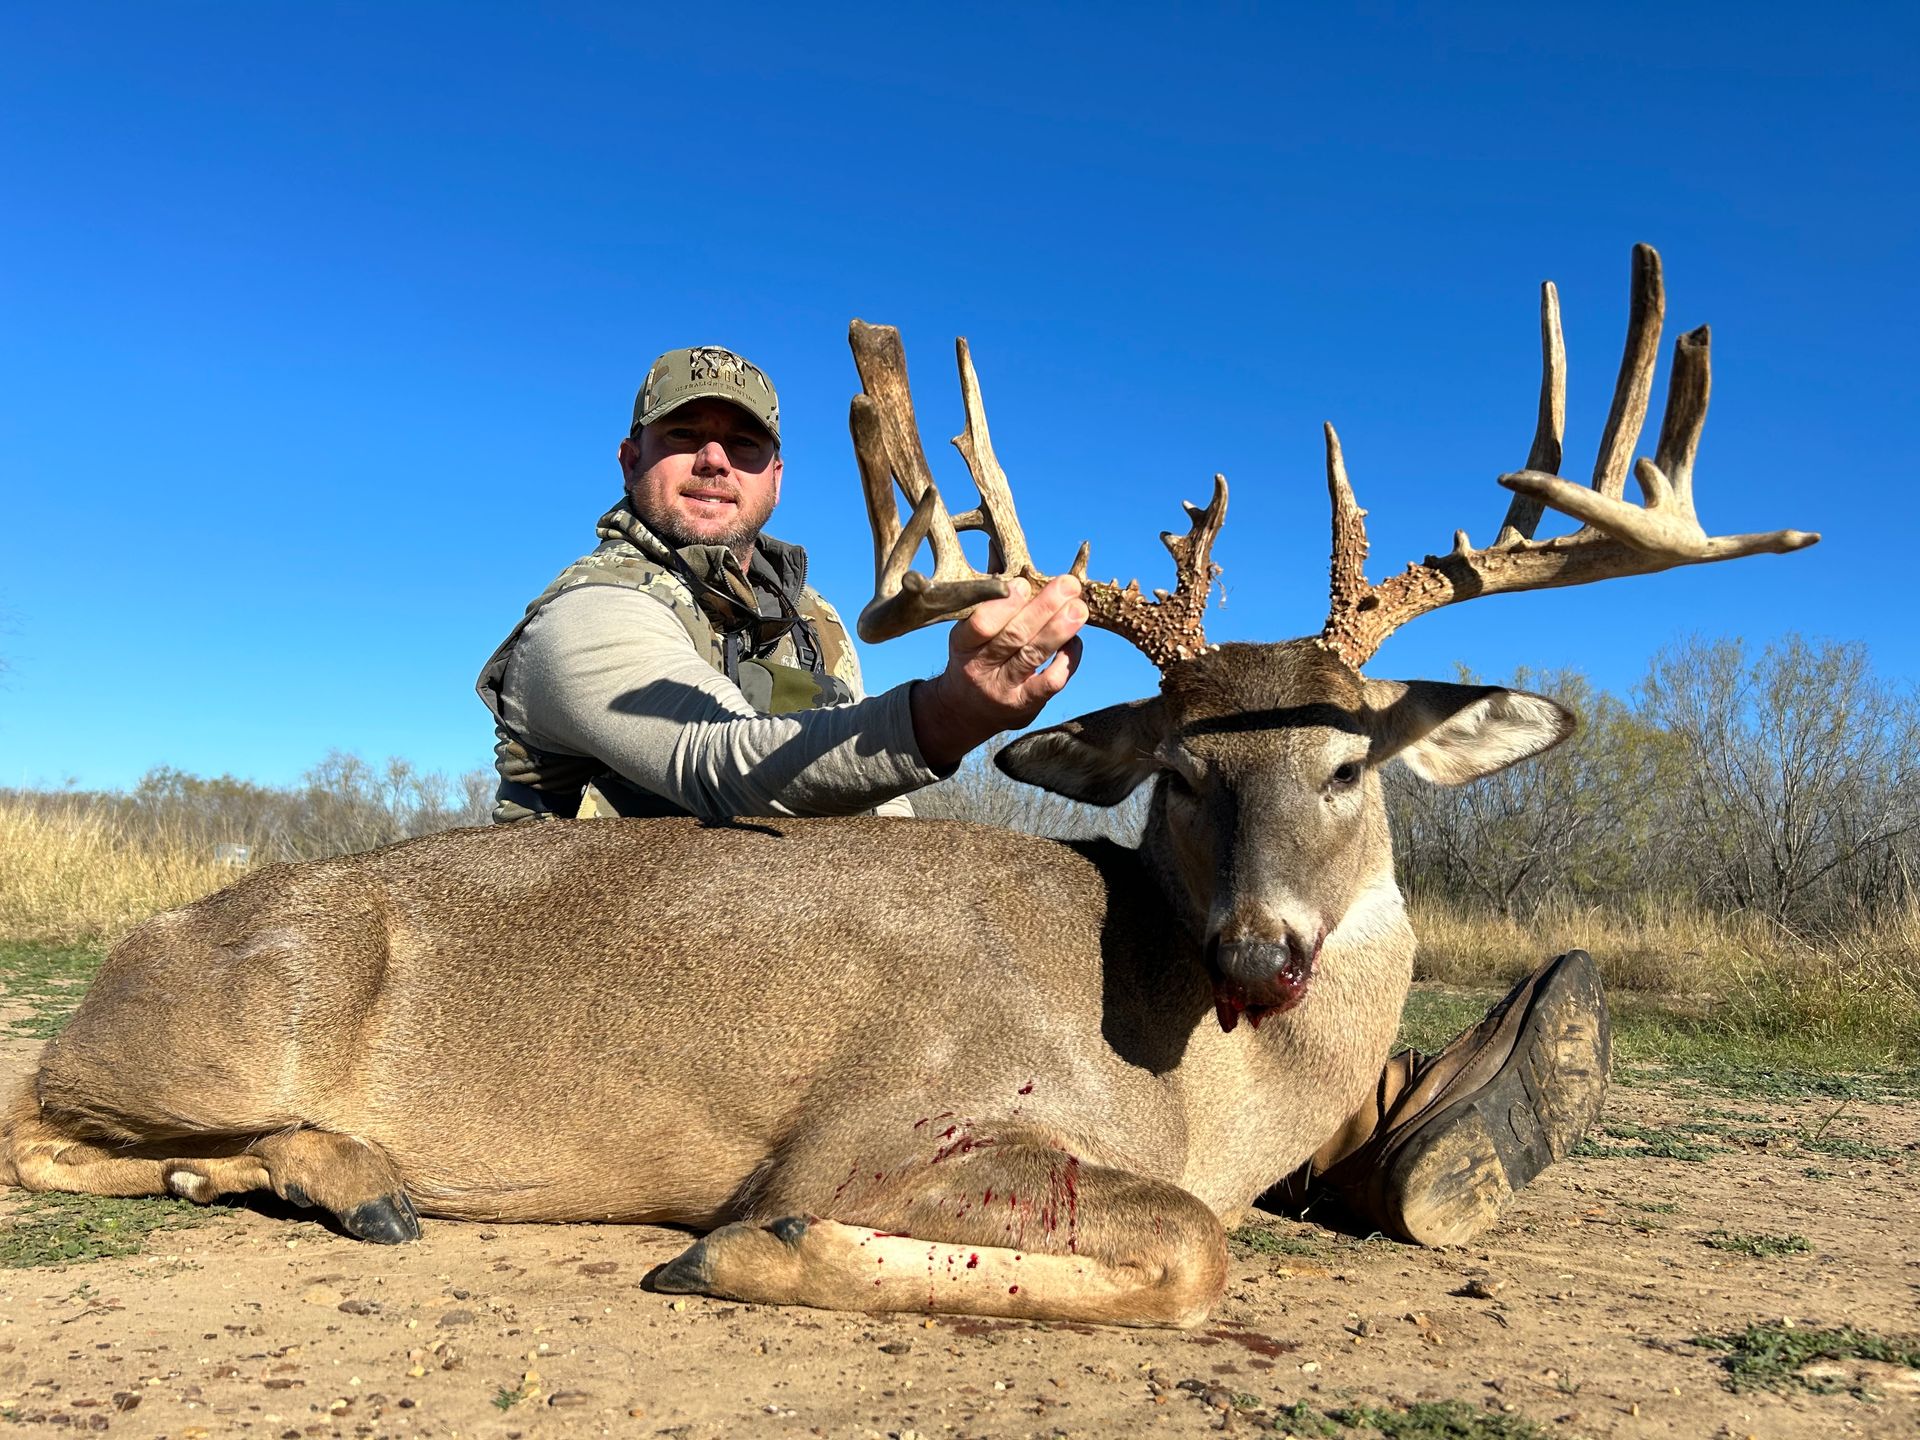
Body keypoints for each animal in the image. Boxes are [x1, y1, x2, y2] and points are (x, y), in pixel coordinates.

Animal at [1, 246, 1815, 1328]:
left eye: (1354, 752)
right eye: (1177, 770)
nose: (1263, 951)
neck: (1198, 1071)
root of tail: (131, 961)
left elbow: (1195, 1238)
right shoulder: (880, 1120)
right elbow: (1186, 1246)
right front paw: (731, 1244)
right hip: (229, 1016)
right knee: (34, 1123)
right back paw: (351, 1176)